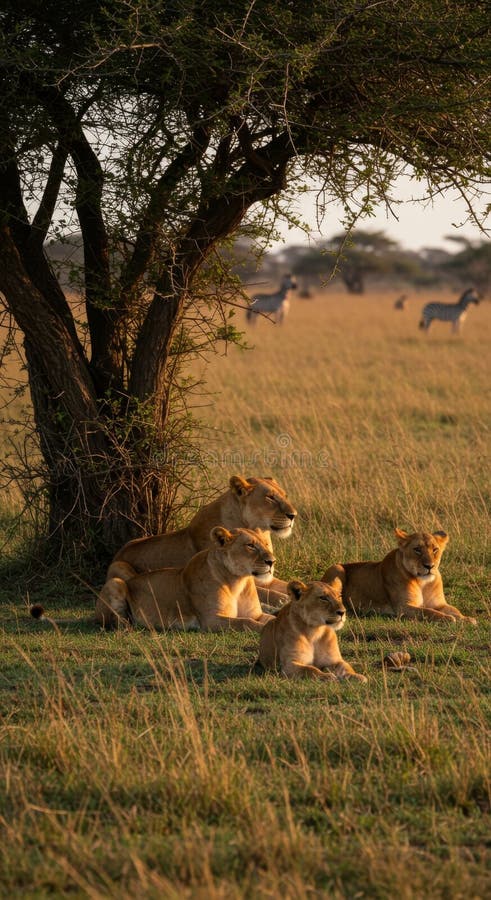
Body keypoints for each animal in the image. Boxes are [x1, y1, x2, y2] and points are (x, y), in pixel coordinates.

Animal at [95, 526, 276, 632]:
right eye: (250, 545)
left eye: (267, 544)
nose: (272, 561)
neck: (238, 581)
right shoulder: (211, 620)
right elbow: (246, 622)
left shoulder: (257, 614)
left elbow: (269, 619)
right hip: (116, 582)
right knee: (116, 623)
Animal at [106, 475, 296, 608]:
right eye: (270, 497)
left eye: (285, 495)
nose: (293, 515)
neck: (259, 531)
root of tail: (118, 553)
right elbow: (267, 593)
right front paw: (284, 601)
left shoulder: (267, 578)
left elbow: (282, 586)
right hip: (118, 566)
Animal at [322, 528, 477, 624]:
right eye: (417, 550)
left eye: (435, 550)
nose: (429, 566)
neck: (423, 583)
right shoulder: (403, 607)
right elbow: (428, 612)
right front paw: (448, 618)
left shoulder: (439, 604)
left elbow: (454, 610)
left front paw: (467, 619)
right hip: (337, 568)